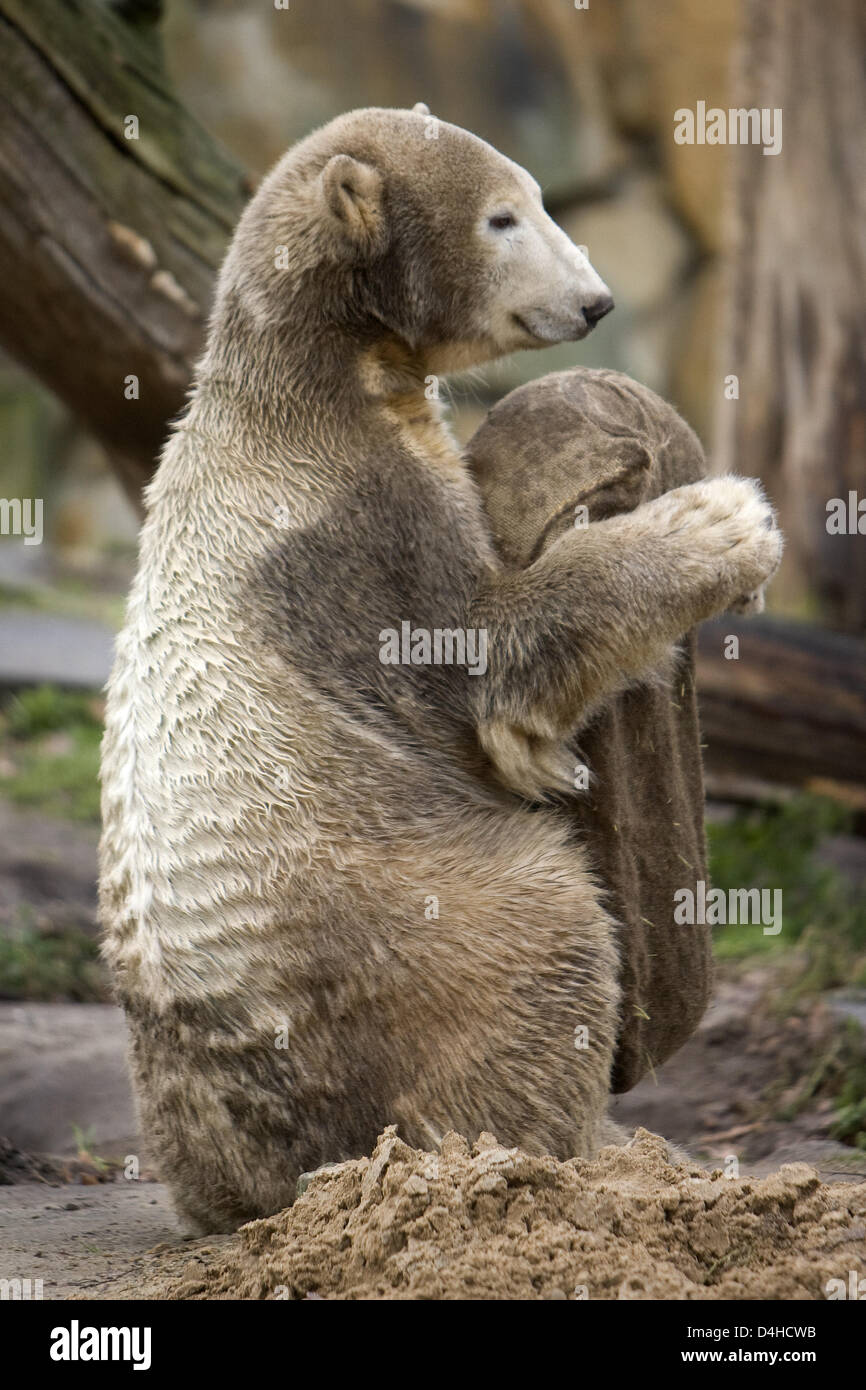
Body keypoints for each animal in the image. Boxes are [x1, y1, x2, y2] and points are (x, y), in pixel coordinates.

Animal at [99, 106, 782, 1234]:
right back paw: (568, 1155)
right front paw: (722, 521)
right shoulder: (346, 521)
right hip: (402, 916)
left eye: (543, 198)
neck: (311, 385)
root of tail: (257, 1173)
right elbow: (486, 650)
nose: (595, 301)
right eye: (504, 216)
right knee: (540, 943)